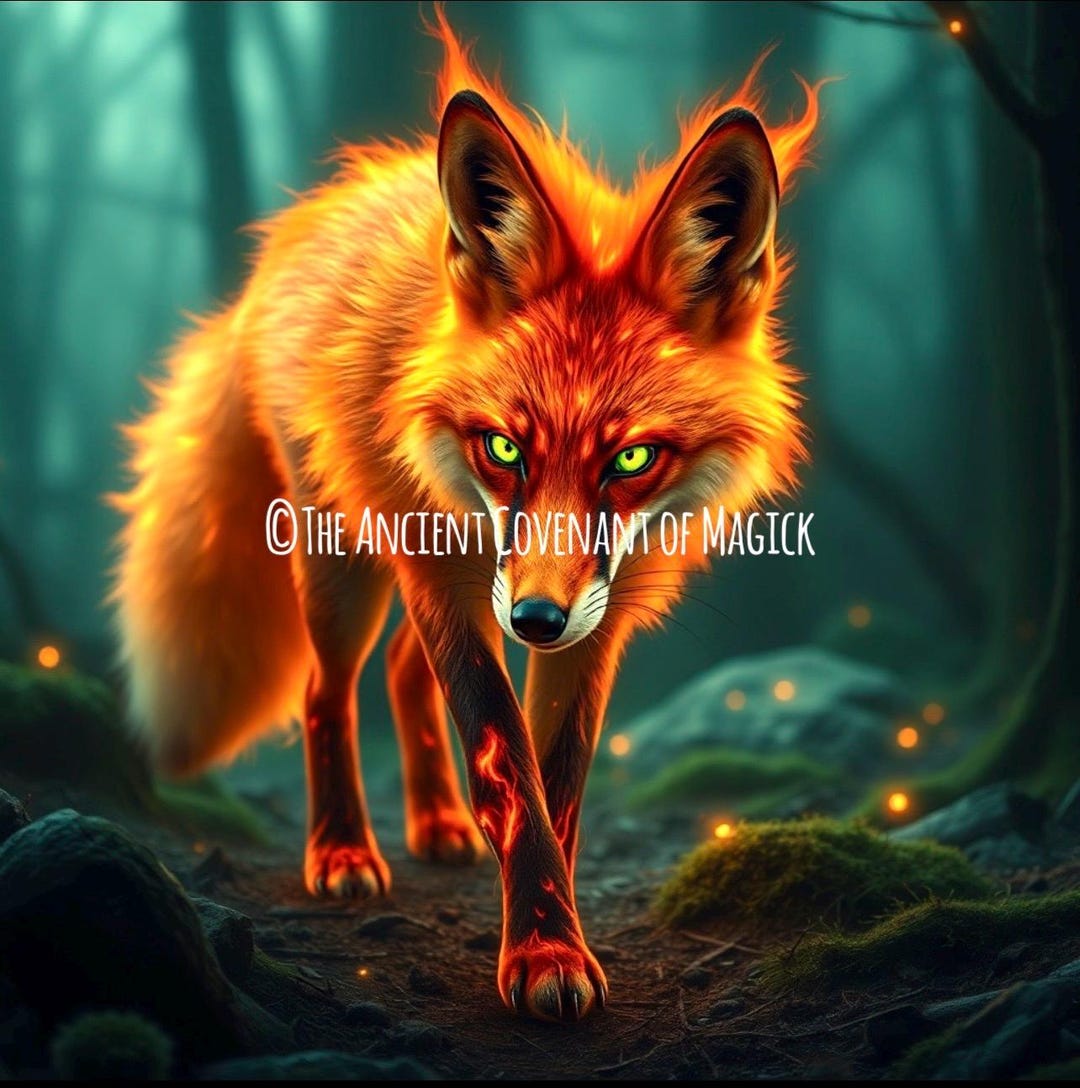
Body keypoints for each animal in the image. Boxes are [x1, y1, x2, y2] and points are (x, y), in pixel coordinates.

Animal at [112, 11, 819, 1022]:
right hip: (350, 566)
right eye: (504, 448)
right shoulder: (451, 582)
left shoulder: (594, 614)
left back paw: (435, 822)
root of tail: (319, 214)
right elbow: (504, 766)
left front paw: (551, 926)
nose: (536, 620)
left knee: (401, 675)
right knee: (325, 691)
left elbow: (555, 781)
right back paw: (342, 849)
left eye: (632, 458)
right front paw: (542, 952)